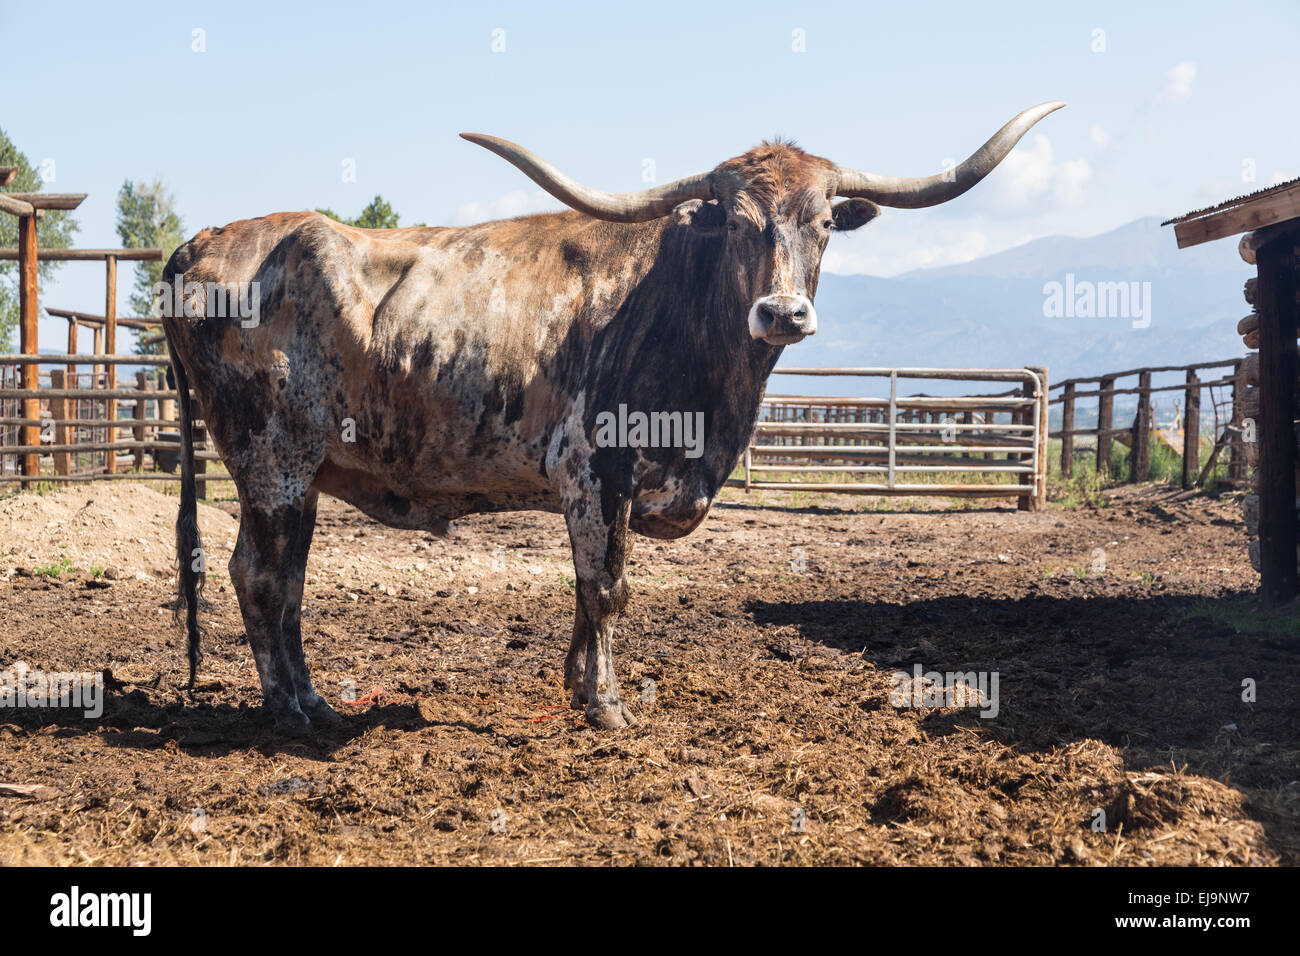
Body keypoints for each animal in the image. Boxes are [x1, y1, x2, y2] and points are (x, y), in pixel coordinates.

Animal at [162, 101, 1063, 733]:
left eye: (823, 225)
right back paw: (291, 711)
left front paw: (575, 686)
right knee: (262, 576)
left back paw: (312, 700)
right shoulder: (594, 469)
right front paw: (607, 706)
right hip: (272, 463)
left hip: (298, 476)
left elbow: (586, 586)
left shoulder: (612, 490)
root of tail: (205, 238)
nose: (781, 313)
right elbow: (606, 587)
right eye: (740, 223)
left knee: (282, 580)